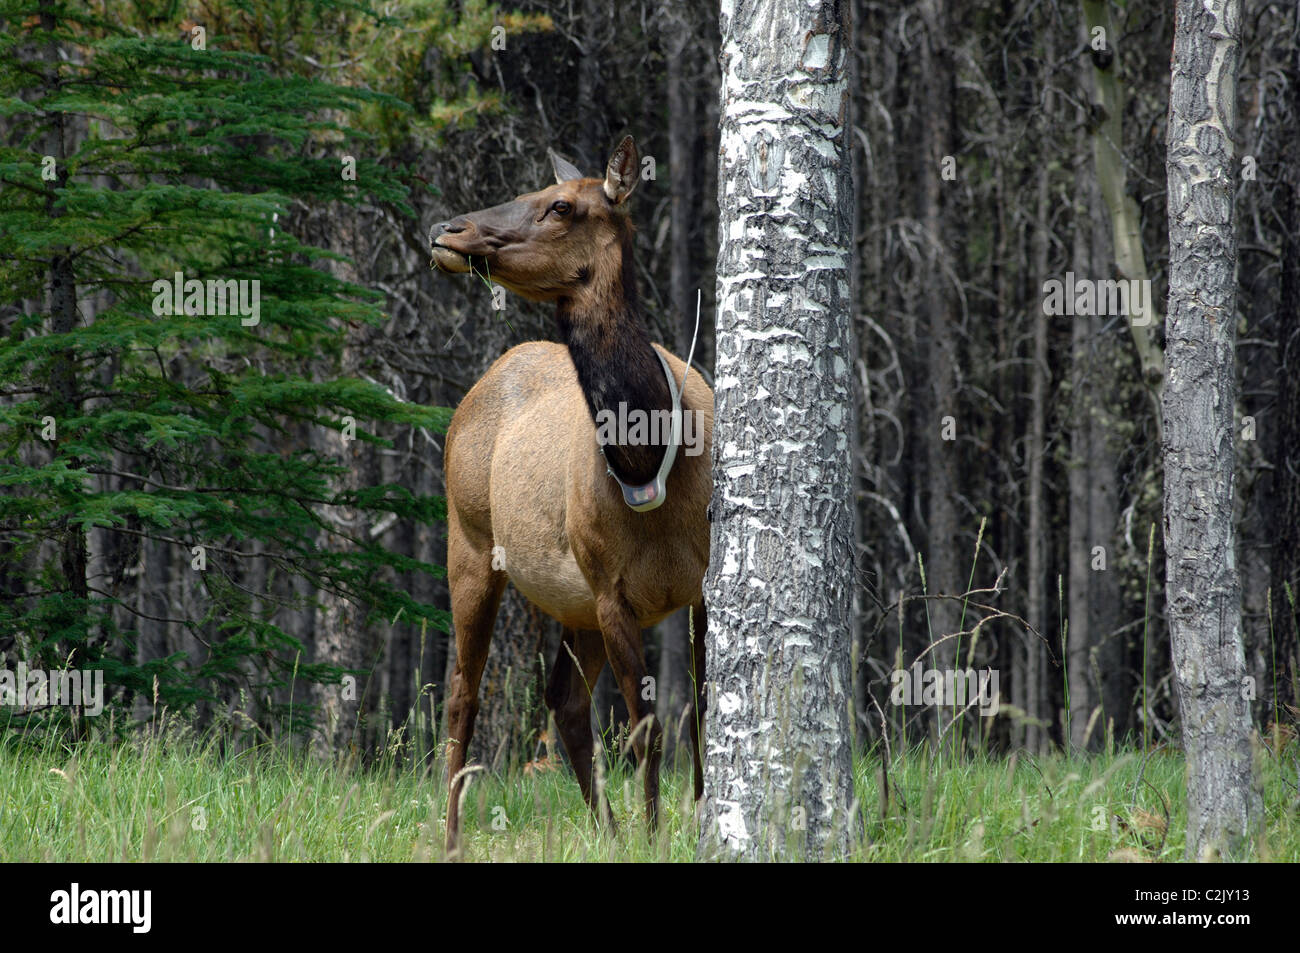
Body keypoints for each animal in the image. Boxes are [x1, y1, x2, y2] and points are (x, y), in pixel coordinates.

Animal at [430, 136, 713, 855]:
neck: (651, 454)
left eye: (560, 204)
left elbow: (700, 713)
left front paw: (700, 815)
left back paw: (606, 829)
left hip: (571, 600)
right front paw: (655, 835)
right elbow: (646, 728)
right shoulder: (614, 590)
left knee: (563, 699)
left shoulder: (697, 588)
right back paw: (450, 836)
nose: (449, 229)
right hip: (472, 542)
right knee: (462, 694)